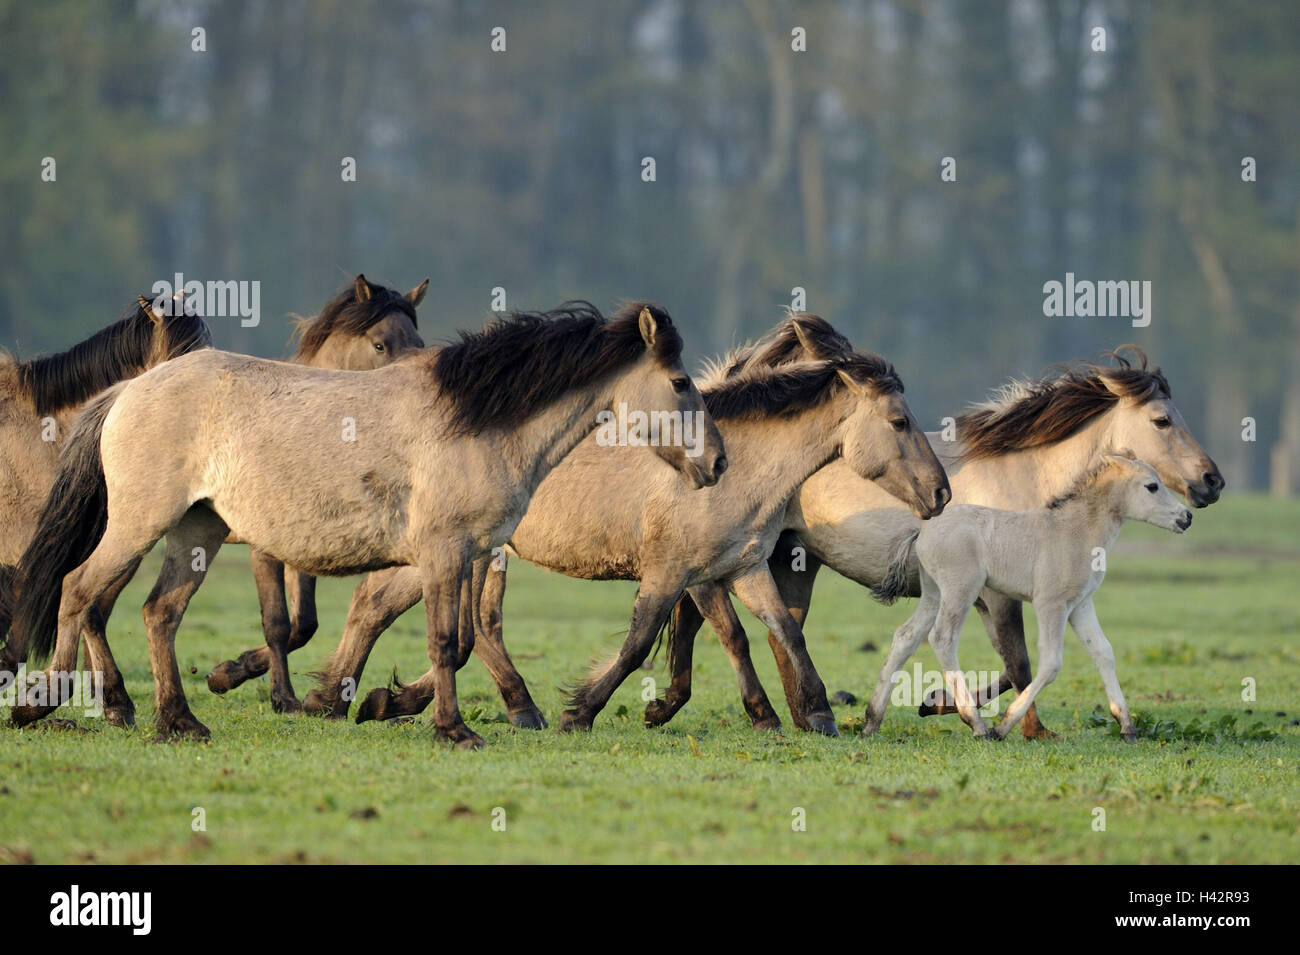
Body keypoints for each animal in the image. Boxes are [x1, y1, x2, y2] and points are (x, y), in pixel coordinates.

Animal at [8, 302, 726, 748]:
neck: (476, 422)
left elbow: (461, 641)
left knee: (157, 613)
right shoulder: (441, 553)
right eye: (680, 381)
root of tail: (128, 390)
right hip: (139, 524)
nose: (719, 461)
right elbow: (444, 641)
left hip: (197, 532)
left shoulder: (469, 555)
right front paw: (453, 730)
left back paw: (178, 720)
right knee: (79, 590)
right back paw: (42, 703)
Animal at [302, 313, 950, 736]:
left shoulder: (739, 568)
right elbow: (648, 641)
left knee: (441, 620)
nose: (941, 493)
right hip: (456, 550)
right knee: (405, 612)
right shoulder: (676, 571)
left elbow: (780, 632)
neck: (741, 468)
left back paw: (370, 701)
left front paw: (813, 714)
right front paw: (582, 710)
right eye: (899, 421)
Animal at [862, 454, 1192, 740]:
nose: (1187, 517)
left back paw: (872, 720)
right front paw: (1003, 726)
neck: (1075, 532)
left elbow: (1103, 651)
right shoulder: (1051, 603)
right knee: (943, 637)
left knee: (906, 636)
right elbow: (1051, 663)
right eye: (1152, 486)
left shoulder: (1080, 605)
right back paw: (977, 724)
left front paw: (1127, 727)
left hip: (933, 593)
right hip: (961, 589)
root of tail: (923, 531)